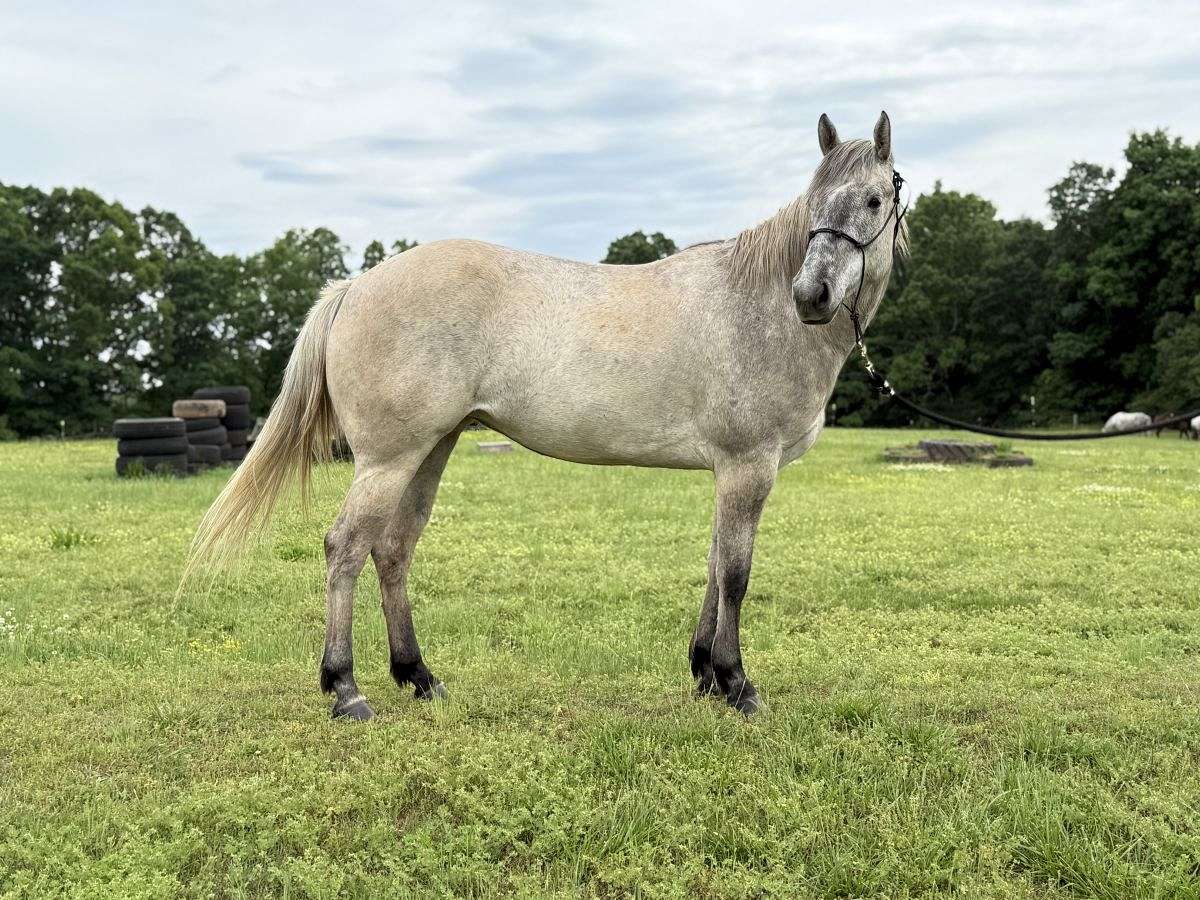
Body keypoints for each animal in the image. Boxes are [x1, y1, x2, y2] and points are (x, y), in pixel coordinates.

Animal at [186, 112, 909, 719]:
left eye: (874, 200)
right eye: (814, 202)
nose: (812, 296)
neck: (754, 307)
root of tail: (356, 285)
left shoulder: (732, 475)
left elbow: (713, 564)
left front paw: (705, 673)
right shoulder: (748, 467)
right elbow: (734, 572)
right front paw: (736, 683)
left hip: (431, 449)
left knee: (392, 549)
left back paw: (418, 676)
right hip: (388, 459)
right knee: (346, 547)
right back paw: (345, 689)